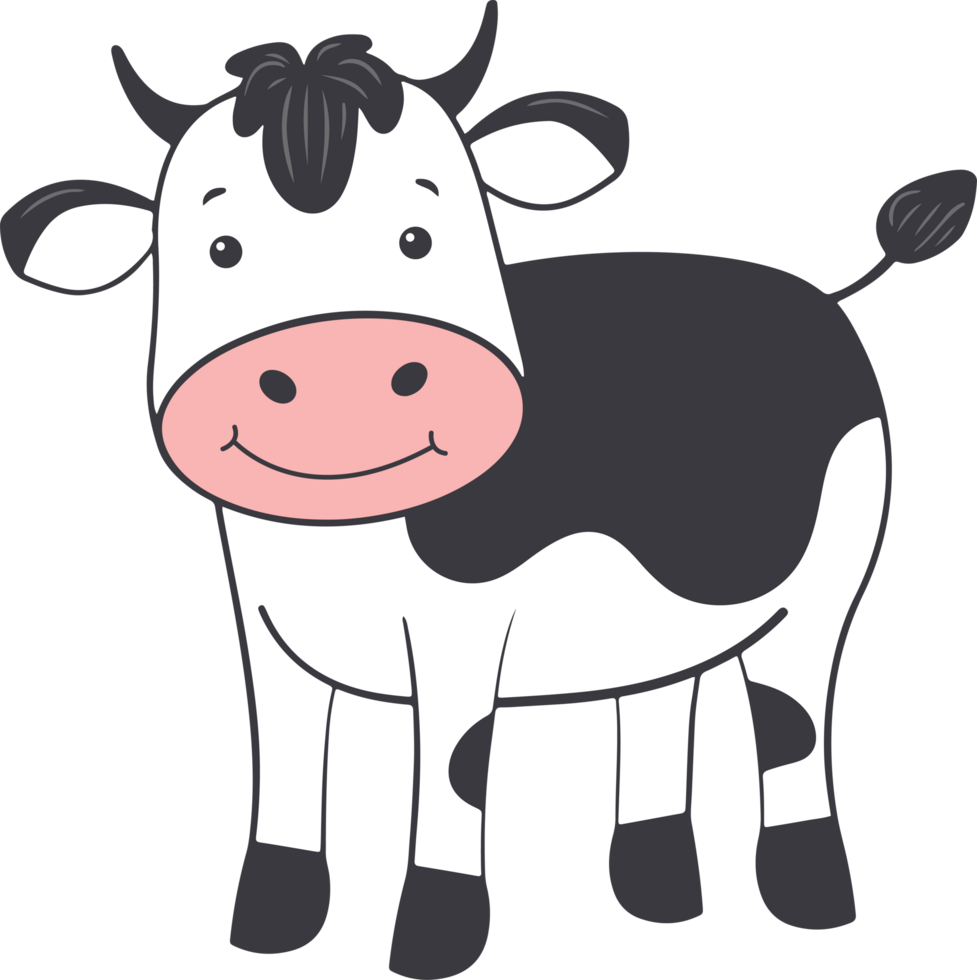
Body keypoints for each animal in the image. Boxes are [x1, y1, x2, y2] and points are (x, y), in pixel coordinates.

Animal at [1, 3, 972, 975]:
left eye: (419, 236)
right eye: (221, 249)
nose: (334, 368)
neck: (339, 543)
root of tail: (825, 294)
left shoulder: (460, 625)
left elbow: (453, 766)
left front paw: (430, 950)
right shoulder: (264, 624)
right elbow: (284, 765)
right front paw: (270, 932)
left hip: (829, 580)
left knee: (793, 720)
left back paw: (809, 903)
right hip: (664, 612)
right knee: (662, 697)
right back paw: (659, 900)